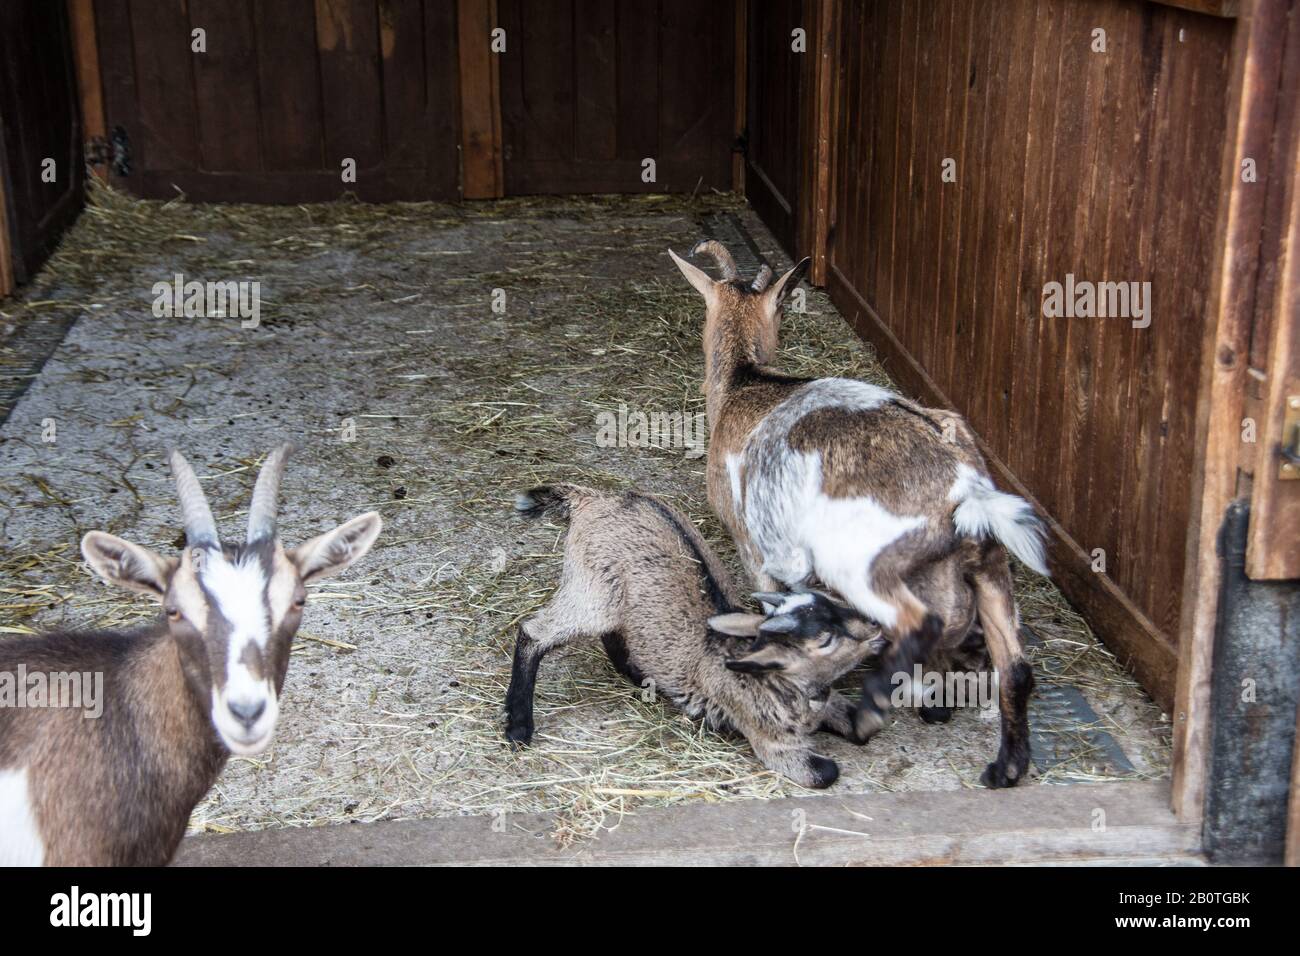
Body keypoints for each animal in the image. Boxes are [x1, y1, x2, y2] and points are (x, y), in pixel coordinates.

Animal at [505, 484, 881, 789]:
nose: (874, 627)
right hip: (593, 591)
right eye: (825, 638)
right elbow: (825, 773)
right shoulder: (771, 742)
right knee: (534, 633)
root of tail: (594, 497)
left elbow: (863, 725)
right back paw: (518, 727)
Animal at [669, 240, 1046, 788]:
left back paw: (882, 707)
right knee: (1015, 666)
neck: (746, 382)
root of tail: (960, 486)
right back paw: (1004, 765)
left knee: (919, 622)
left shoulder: (758, 549)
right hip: (990, 565)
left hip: (864, 566)